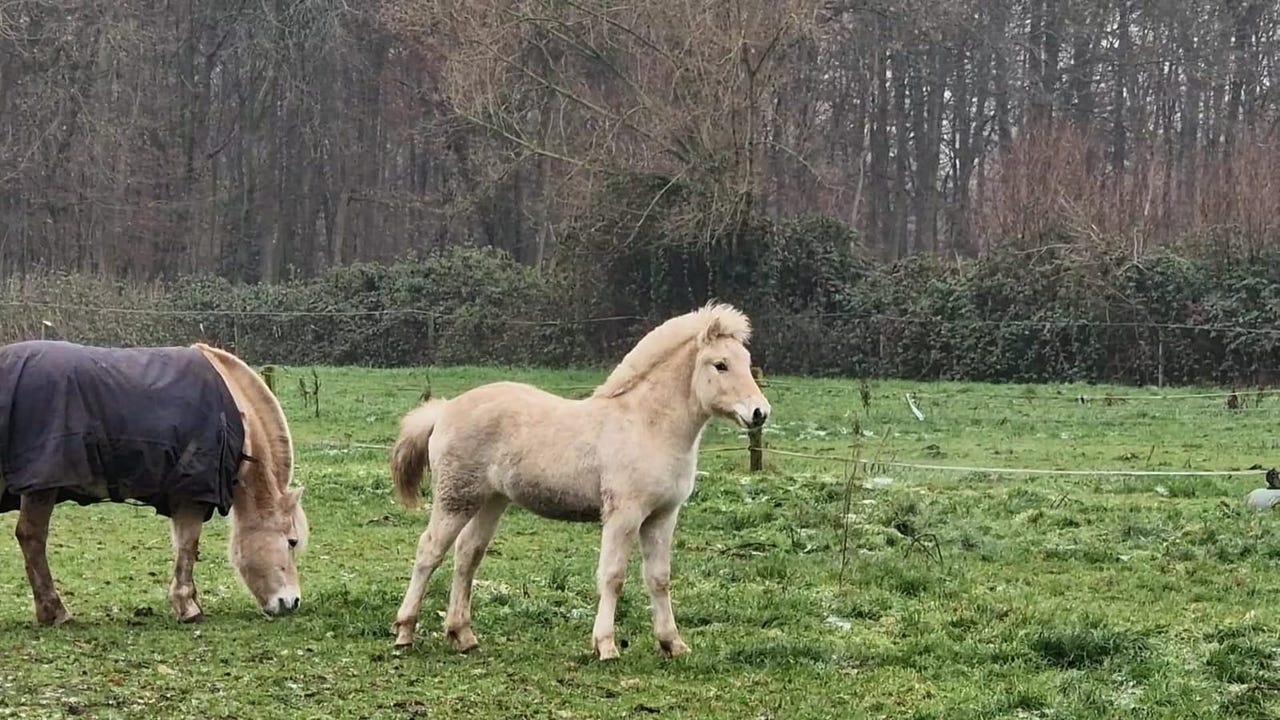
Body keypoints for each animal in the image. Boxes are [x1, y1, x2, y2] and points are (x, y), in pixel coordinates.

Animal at [0, 340, 308, 625]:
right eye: (291, 541)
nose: (292, 602)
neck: (235, 415)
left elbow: (183, 545)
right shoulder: (192, 495)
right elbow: (188, 545)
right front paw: (188, 606)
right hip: (41, 488)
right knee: (32, 538)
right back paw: (56, 611)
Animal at [388, 302, 771, 660]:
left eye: (746, 360)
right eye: (720, 364)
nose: (759, 413)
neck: (647, 425)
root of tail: (445, 409)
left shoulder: (662, 516)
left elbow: (659, 578)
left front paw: (672, 643)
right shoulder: (624, 515)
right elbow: (613, 575)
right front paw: (606, 645)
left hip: (491, 500)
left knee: (467, 554)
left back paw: (463, 635)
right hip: (455, 498)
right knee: (429, 550)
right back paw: (405, 631)